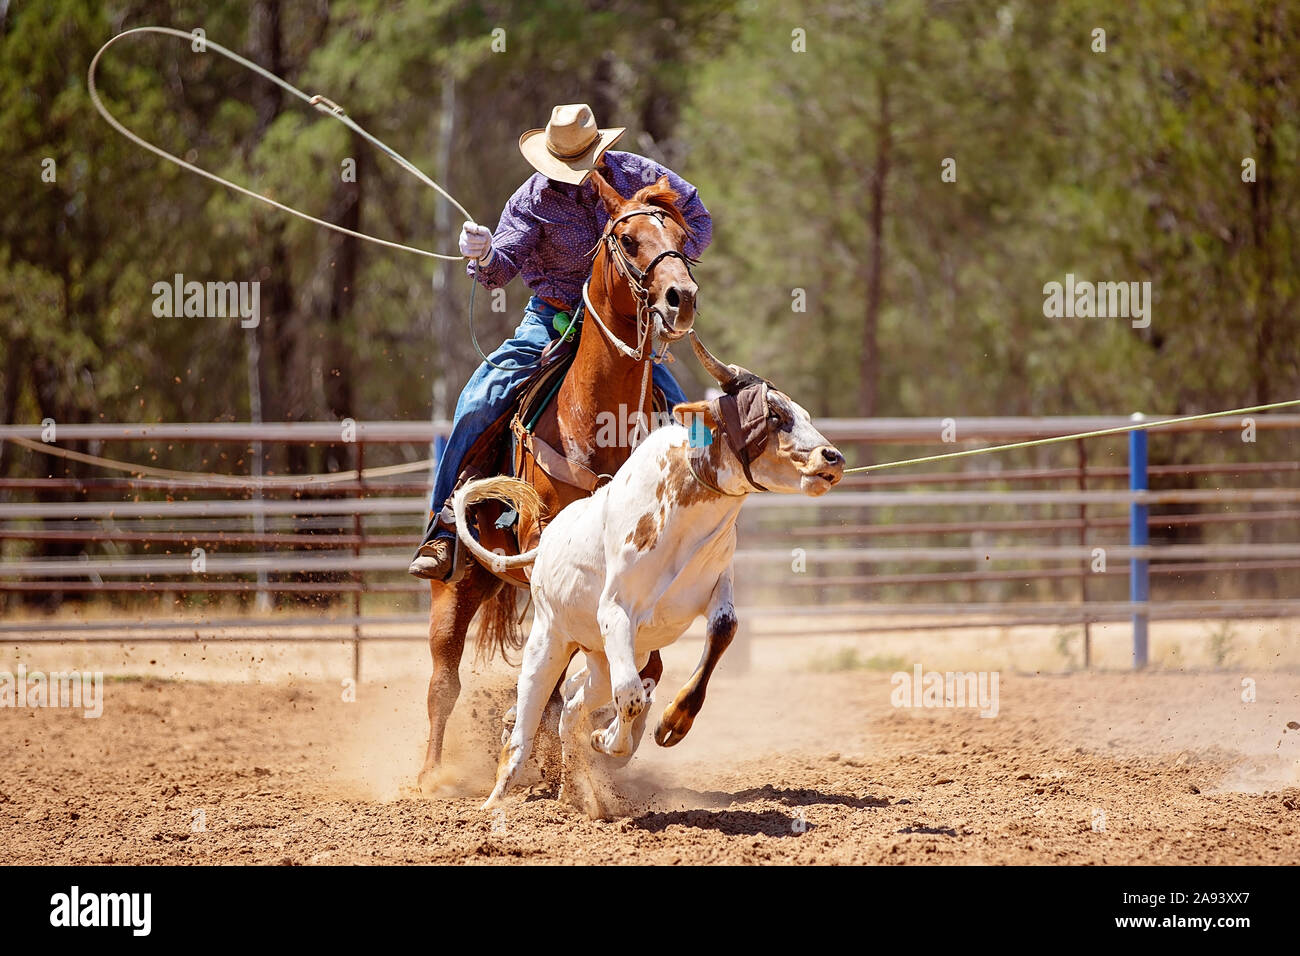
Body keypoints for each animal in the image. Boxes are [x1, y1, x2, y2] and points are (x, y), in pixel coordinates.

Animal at [449, 331, 845, 817]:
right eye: (774, 415)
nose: (833, 457)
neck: (680, 512)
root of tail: (546, 544)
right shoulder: (616, 613)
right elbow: (633, 696)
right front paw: (610, 741)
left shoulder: (717, 591)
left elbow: (723, 631)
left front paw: (673, 722)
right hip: (549, 642)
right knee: (524, 729)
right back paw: (494, 802)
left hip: (600, 658)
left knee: (573, 707)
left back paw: (574, 795)